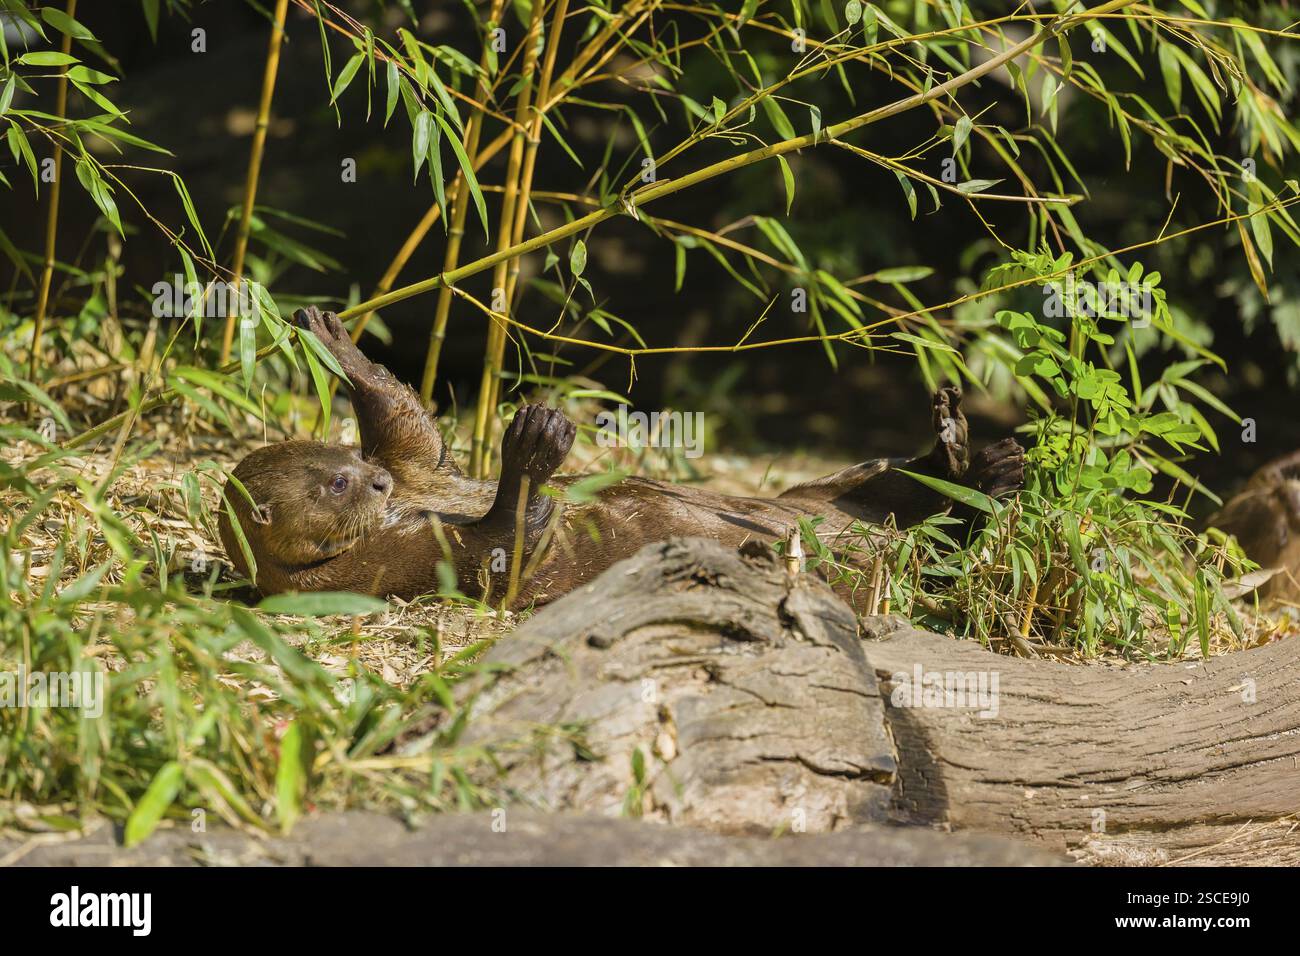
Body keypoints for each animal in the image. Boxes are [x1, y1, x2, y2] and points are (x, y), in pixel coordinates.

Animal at [218, 307, 1025, 609]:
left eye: (345, 458)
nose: (378, 482)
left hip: (827, 488)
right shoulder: (387, 567)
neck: (406, 511)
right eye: (338, 483)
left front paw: (335, 343)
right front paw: (532, 444)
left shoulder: (424, 472)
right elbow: (504, 549)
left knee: (905, 488)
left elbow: (415, 430)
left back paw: (969, 449)